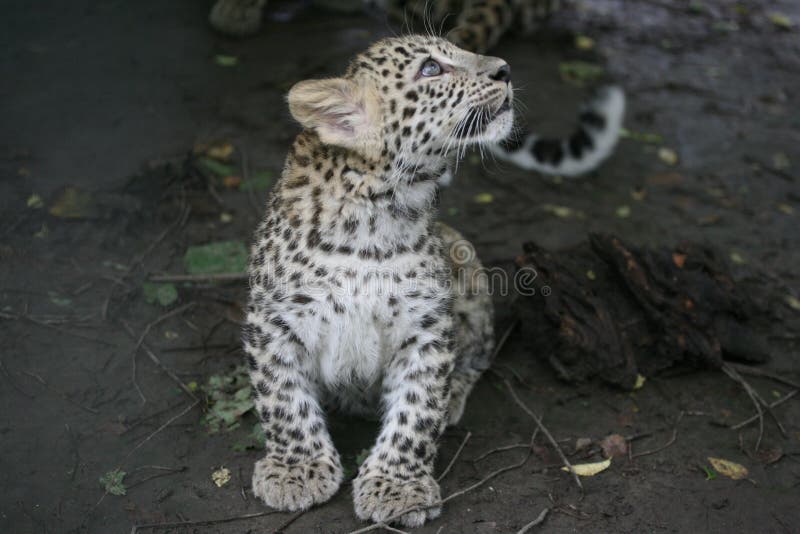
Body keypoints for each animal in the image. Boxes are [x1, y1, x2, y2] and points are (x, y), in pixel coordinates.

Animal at [242, 33, 622, 528]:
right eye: (430, 69)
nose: (504, 69)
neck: (381, 212)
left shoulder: (425, 329)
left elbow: (416, 411)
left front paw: (397, 487)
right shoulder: (274, 324)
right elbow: (284, 399)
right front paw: (296, 470)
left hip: (467, 263)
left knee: (476, 357)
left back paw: (454, 398)